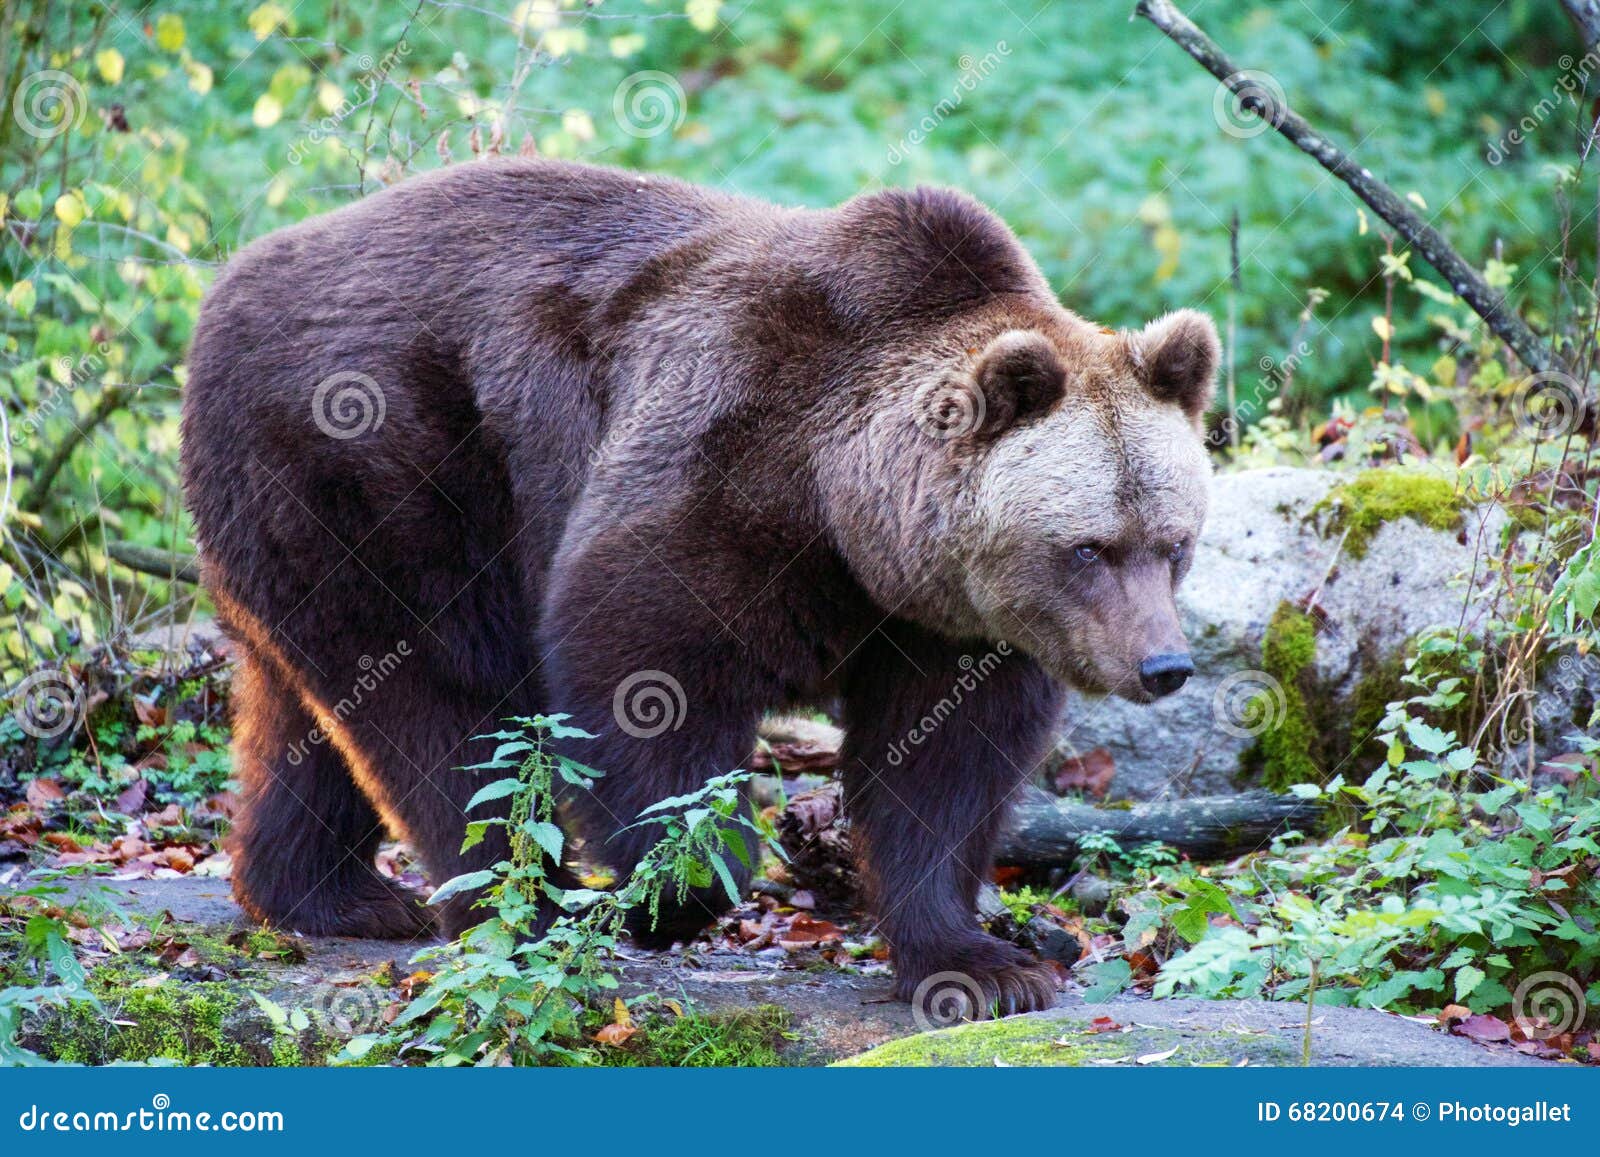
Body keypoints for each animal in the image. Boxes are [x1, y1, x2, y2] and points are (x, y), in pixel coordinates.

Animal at [180, 157, 1217, 1018]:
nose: (1162, 663)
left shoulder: (947, 622)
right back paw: (519, 907)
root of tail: (228, 279)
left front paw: (983, 962)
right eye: (1089, 547)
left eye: (1174, 543)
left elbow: (945, 766)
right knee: (439, 699)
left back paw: (331, 894)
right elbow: (644, 662)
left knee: (307, 706)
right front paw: (674, 883)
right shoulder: (727, 458)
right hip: (385, 460)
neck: (853, 518)